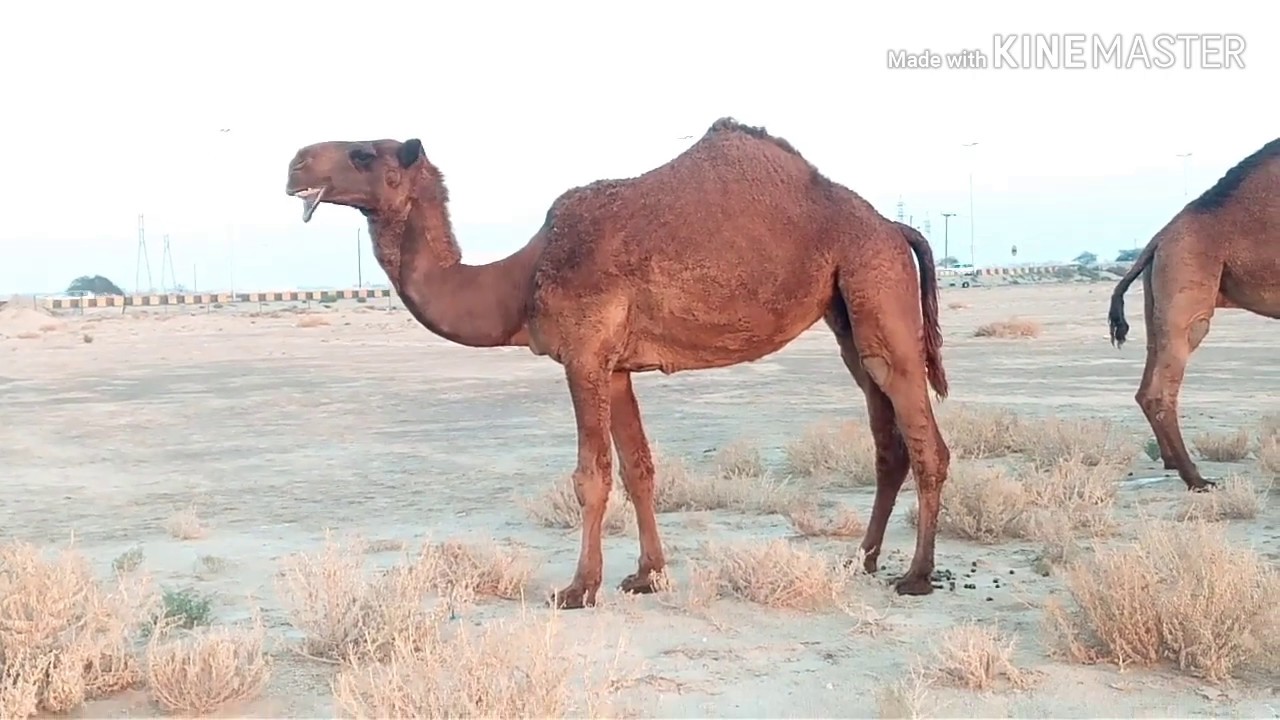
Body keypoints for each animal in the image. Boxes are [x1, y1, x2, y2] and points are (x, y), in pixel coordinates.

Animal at [284, 118, 951, 608]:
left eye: (364, 154)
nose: (294, 164)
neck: (520, 279)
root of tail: (894, 226)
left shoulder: (582, 356)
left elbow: (592, 476)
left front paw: (579, 588)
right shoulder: (617, 367)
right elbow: (639, 469)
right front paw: (646, 575)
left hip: (876, 287)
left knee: (926, 441)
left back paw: (916, 575)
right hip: (848, 313)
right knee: (886, 436)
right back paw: (861, 559)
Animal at [1108, 136, 1279, 490]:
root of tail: (1158, 239)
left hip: (1157, 299)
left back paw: (1173, 462)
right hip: (1187, 295)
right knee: (1158, 391)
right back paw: (1196, 479)